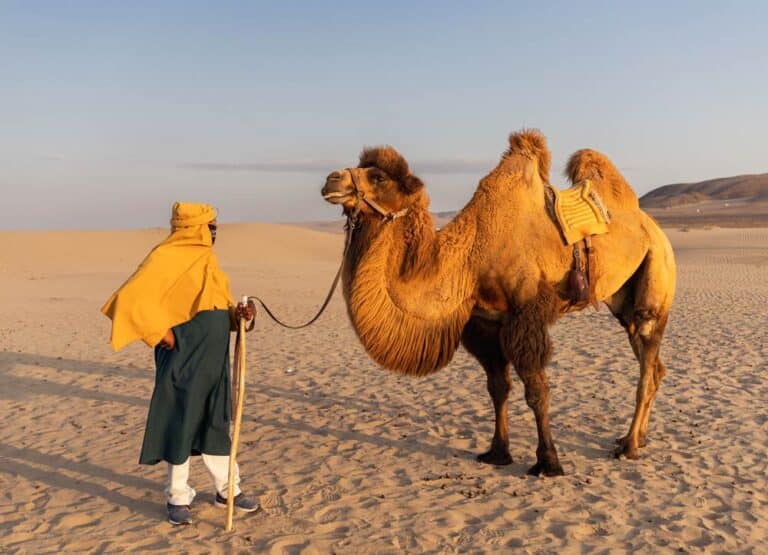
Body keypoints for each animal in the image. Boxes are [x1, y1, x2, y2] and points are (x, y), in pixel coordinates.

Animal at [320, 130, 676, 476]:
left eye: (378, 177)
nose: (331, 180)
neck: (471, 257)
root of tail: (655, 229)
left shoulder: (525, 316)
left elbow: (536, 391)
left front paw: (548, 462)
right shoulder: (486, 323)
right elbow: (497, 388)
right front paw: (497, 452)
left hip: (656, 276)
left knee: (646, 365)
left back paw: (629, 446)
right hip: (624, 304)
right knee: (654, 365)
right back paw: (635, 438)